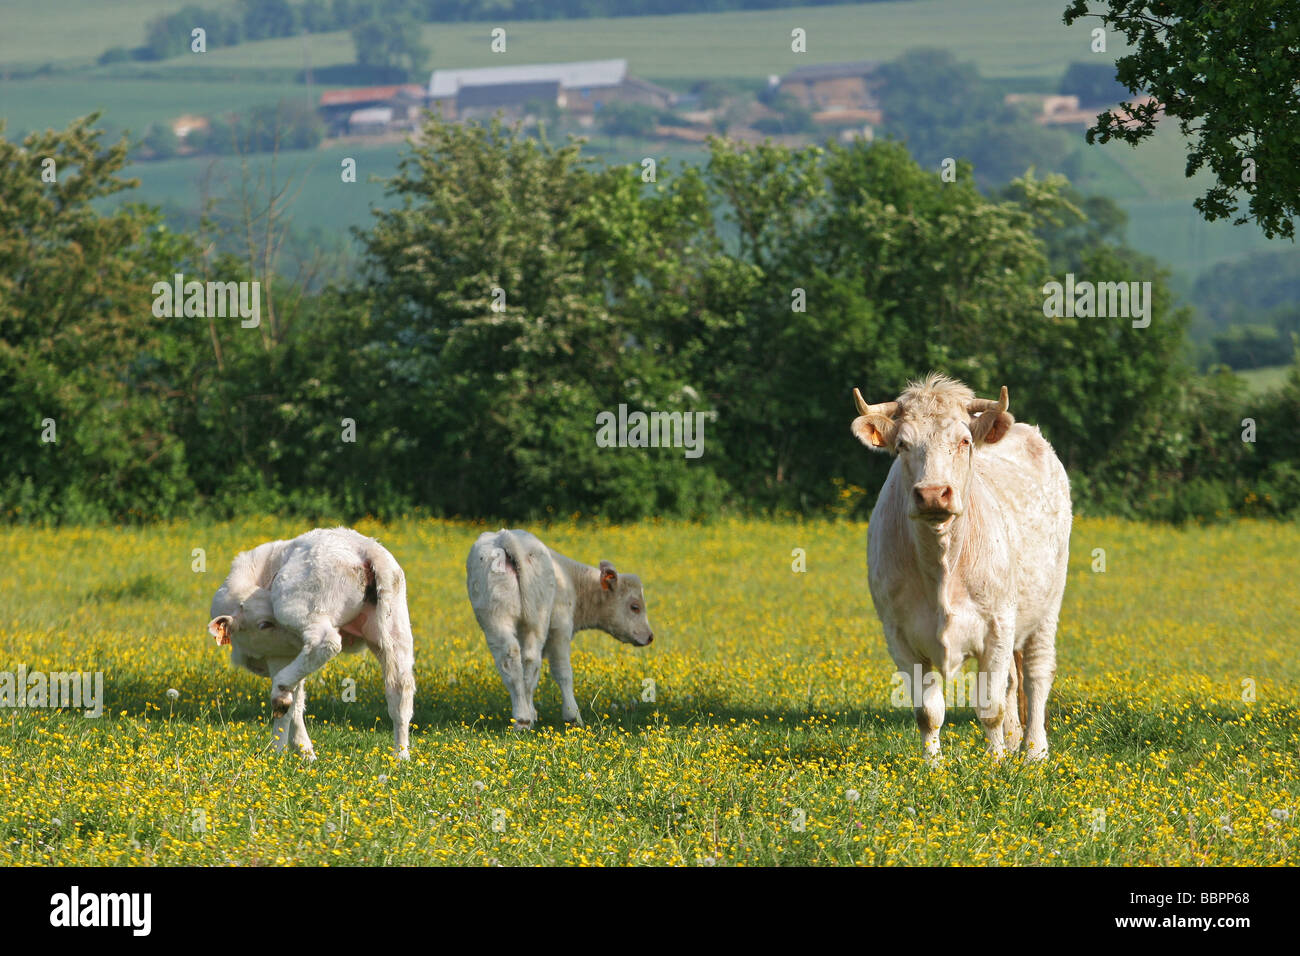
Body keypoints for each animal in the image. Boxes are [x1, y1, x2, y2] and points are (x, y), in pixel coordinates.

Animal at [207, 527, 416, 760]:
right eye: (264, 624)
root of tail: (365, 548)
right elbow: (297, 703)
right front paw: (305, 752)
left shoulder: (279, 655)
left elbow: (291, 706)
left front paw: (280, 750)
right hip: (394, 628)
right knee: (400, 690)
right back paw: (401, 755)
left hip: (301, 610)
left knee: (327, 643)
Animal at [466, 529, 654, 729]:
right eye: (635, 607)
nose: (650, 636)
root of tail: (506, 537)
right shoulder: (560, 627)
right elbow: (563, 672)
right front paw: (572, 715)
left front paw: (533, 712)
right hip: (536, 620)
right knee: (533, 661)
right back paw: (528, 718)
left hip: (497, 619)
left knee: (515, 661)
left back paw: (522, 717)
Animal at [850, 373, 1071, 761]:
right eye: (903, 445)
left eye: (964, 440)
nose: (933, 494)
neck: (941, 564)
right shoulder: (899, 635)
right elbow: (928, 712)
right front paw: (932, 766)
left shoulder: (996, 626)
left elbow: (990, 707)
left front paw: (995, 763)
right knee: (1014, 682)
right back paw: (1014, 741)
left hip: (1047, 607)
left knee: (1036, 675)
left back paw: (1034, 751)